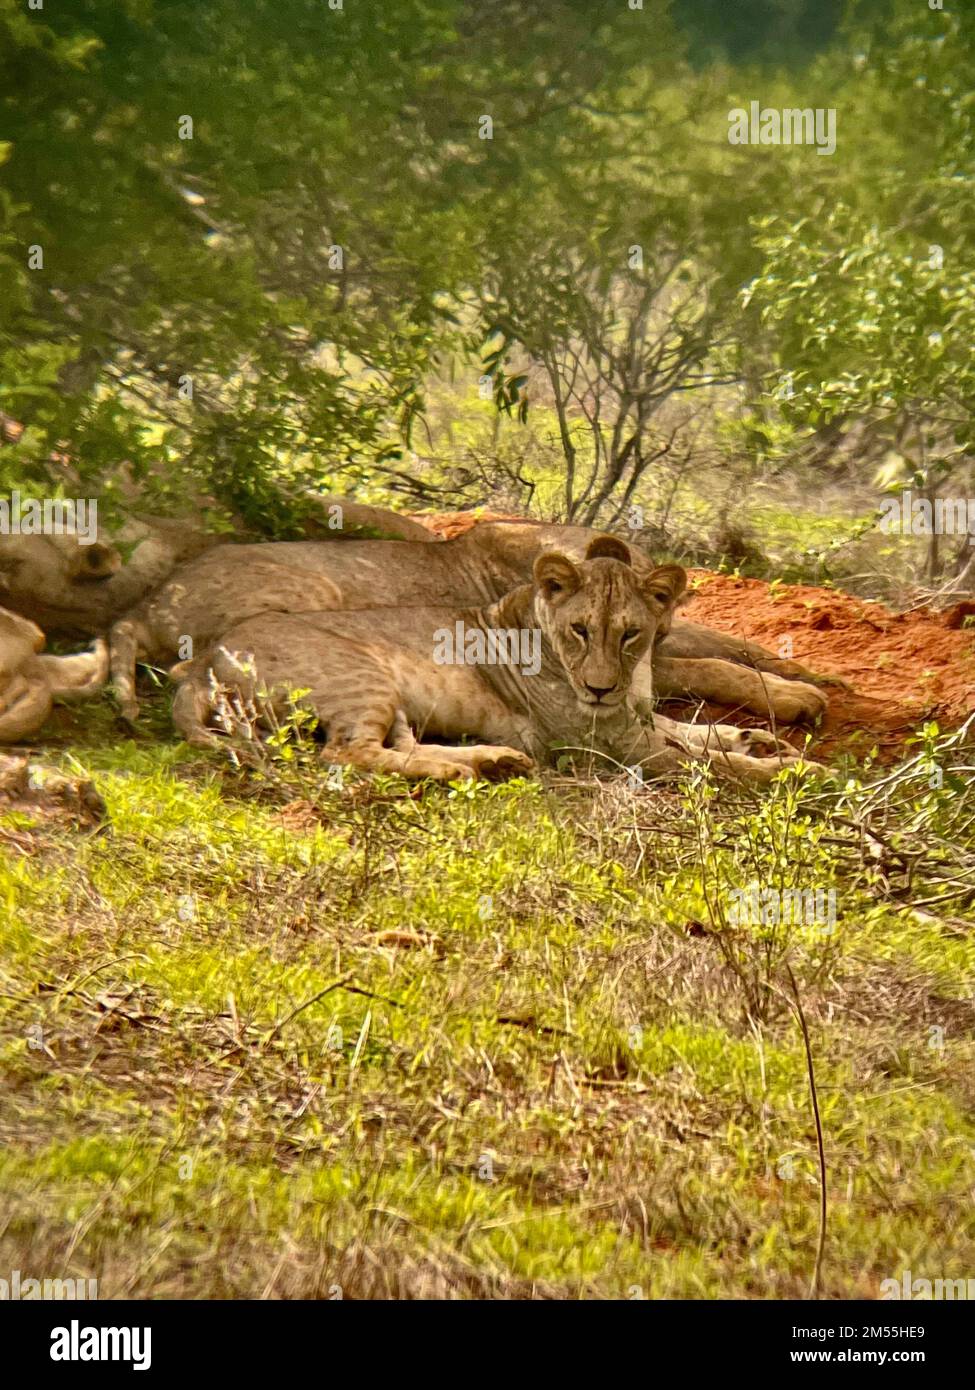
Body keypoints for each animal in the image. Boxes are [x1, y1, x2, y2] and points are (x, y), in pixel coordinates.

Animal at [168, 537, 815, 785]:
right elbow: (705, 762)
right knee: (347, 753)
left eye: (631, 633)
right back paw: (463, 770)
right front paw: (793, 770)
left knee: (397, 746)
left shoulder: (631, 718)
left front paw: (756, 739)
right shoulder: (611, 747)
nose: (599, 689)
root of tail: (200, 662)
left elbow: (695, 732)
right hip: (360, 677)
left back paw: (491, 761)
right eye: (580, 630)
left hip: (390, 699)